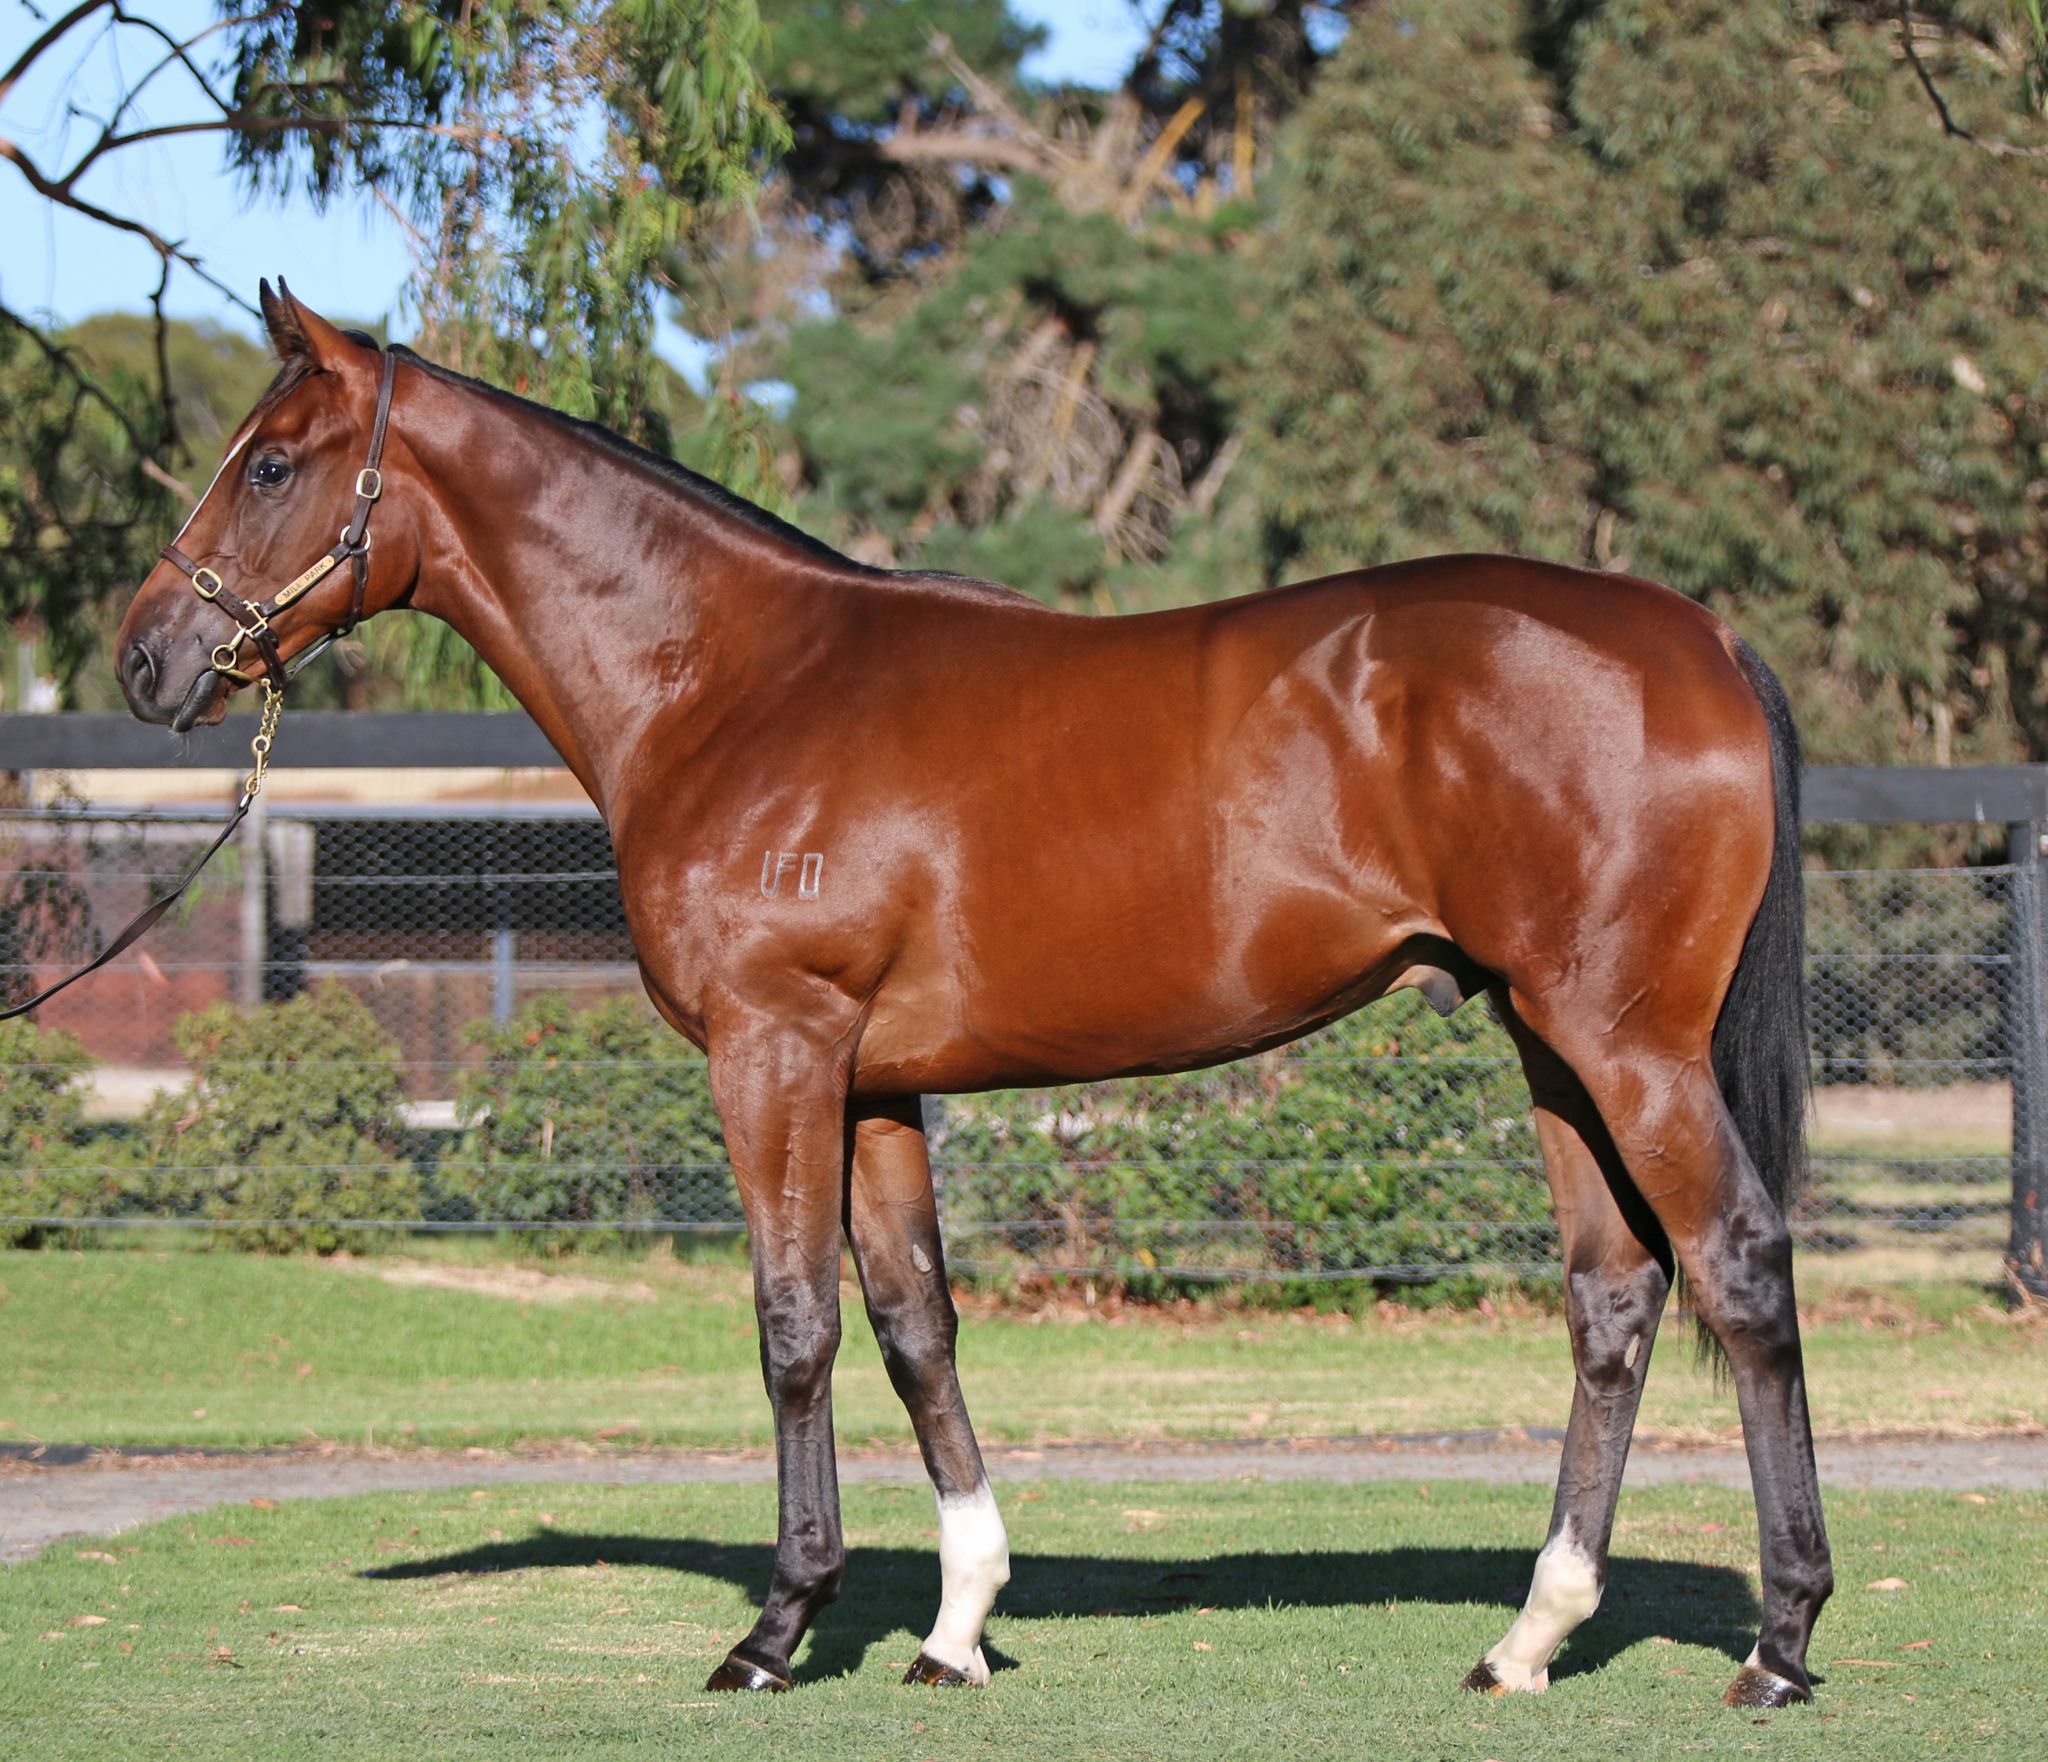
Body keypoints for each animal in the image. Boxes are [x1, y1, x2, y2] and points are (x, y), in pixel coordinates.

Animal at [114, 284, 1829, 1709]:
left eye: (271, 464)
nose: (144, 660)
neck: (735, 683)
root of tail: (1701, 634)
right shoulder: (873, 1082)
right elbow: (913, 1323)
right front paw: (954, 1626)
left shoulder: (775, 1049)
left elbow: (794, 1322)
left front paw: (776, 1626)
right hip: (1549, 1040)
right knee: (1615, 1297)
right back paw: (1529, 1637)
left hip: (1627, 1043)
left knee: (1741, 1268)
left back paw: (1780, 1642)